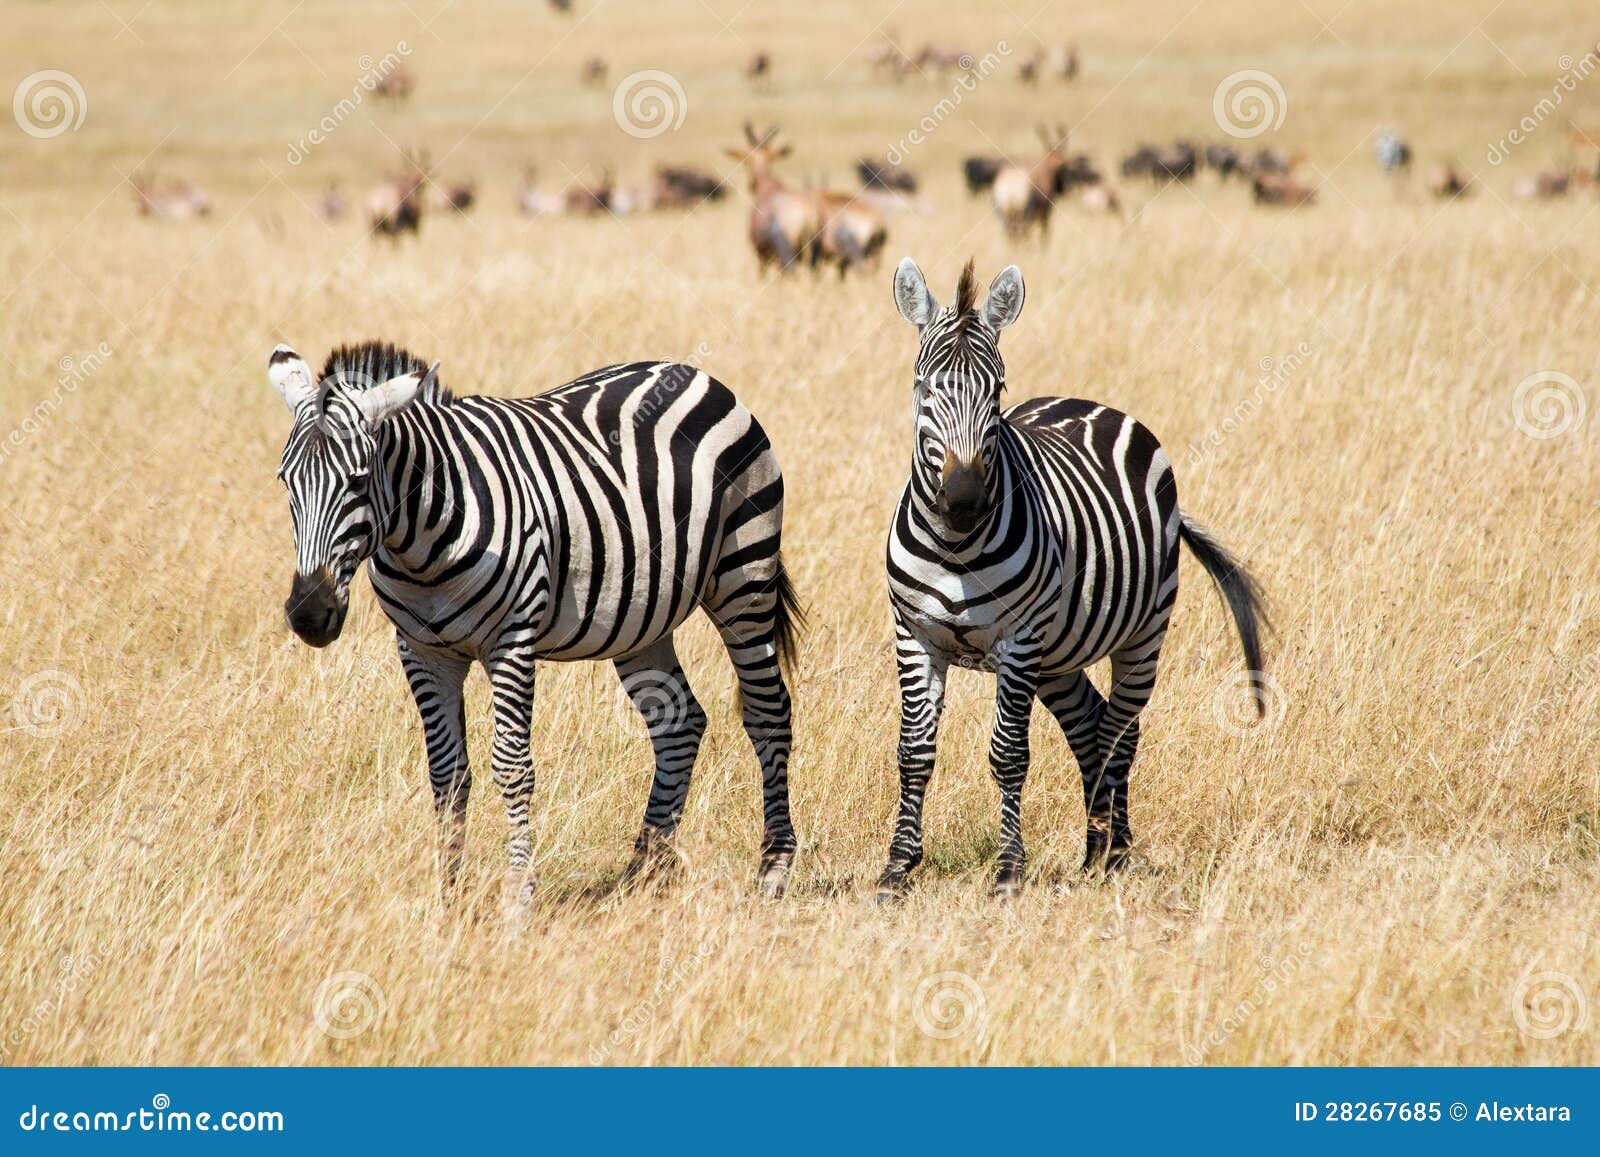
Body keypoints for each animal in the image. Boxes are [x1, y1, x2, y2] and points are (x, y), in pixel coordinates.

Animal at [266, 341, 803, 909]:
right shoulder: (421, 650)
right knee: (677, 720)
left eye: (359, 480)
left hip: (744, 575)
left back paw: (773, 868)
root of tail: (688, 371)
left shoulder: (512, 641)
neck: (422, 547)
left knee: (768, 712)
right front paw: (449, 895)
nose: (309, 614)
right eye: (285, 481)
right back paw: (643, 870)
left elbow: (511, 766)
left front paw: (518, 892)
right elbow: (447, 771)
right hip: (641, 616)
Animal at [879, 259, 1269, 898]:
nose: (963, 501)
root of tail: (1089, 403)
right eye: (924, 388)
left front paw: (1009, 873)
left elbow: (1009, 755)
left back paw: (1116, 851)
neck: (957, 548)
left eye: (997, 391)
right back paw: (1093, 848)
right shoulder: (916, 636)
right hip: (1058, 654)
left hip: (1141, 632)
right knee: (1089, 724)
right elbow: (914, 753)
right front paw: (896, 869)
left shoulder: (1018, 641)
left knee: (1120, 731)